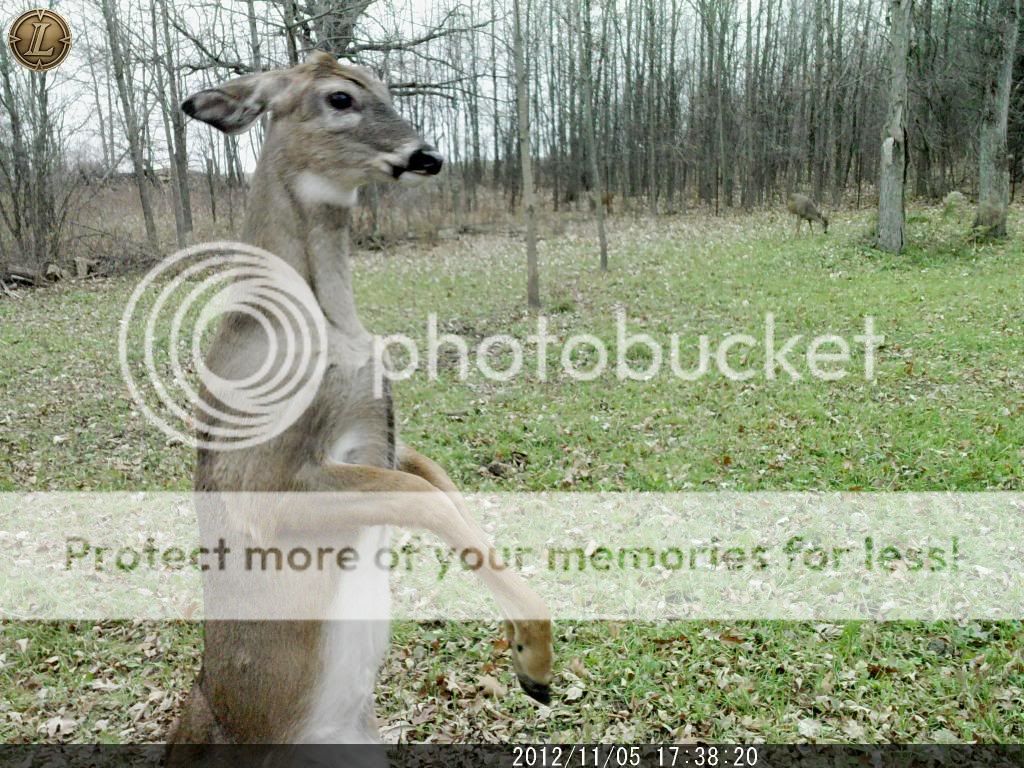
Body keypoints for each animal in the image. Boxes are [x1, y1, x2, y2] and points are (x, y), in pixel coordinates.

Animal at [165, 52, 552, 759]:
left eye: (386, 86)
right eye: (339, 98)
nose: (427, 155)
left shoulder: (387, 438)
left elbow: (445, 489)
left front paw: (528, 657)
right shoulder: (269, 486)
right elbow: (425, 498)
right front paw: (536, 657)